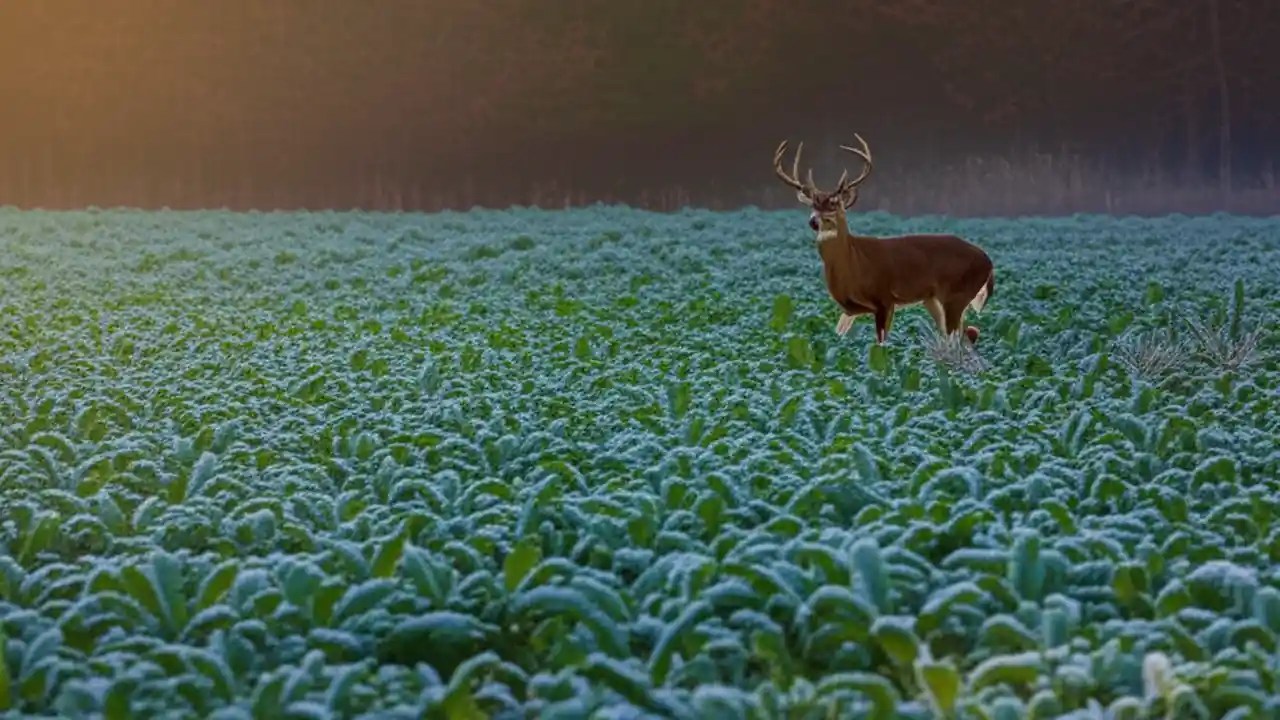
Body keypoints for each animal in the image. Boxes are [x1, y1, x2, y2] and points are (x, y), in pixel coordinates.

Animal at [771, 133, 995, 346]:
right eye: (813, 206)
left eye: (834, 204)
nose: (813, 221)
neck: (853, 265)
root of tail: (988, 261)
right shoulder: (850, 310)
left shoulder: (885, 299)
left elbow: (880, 344)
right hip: (934, 300)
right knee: (967, 334)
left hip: (956, 295)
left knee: (960, 337)